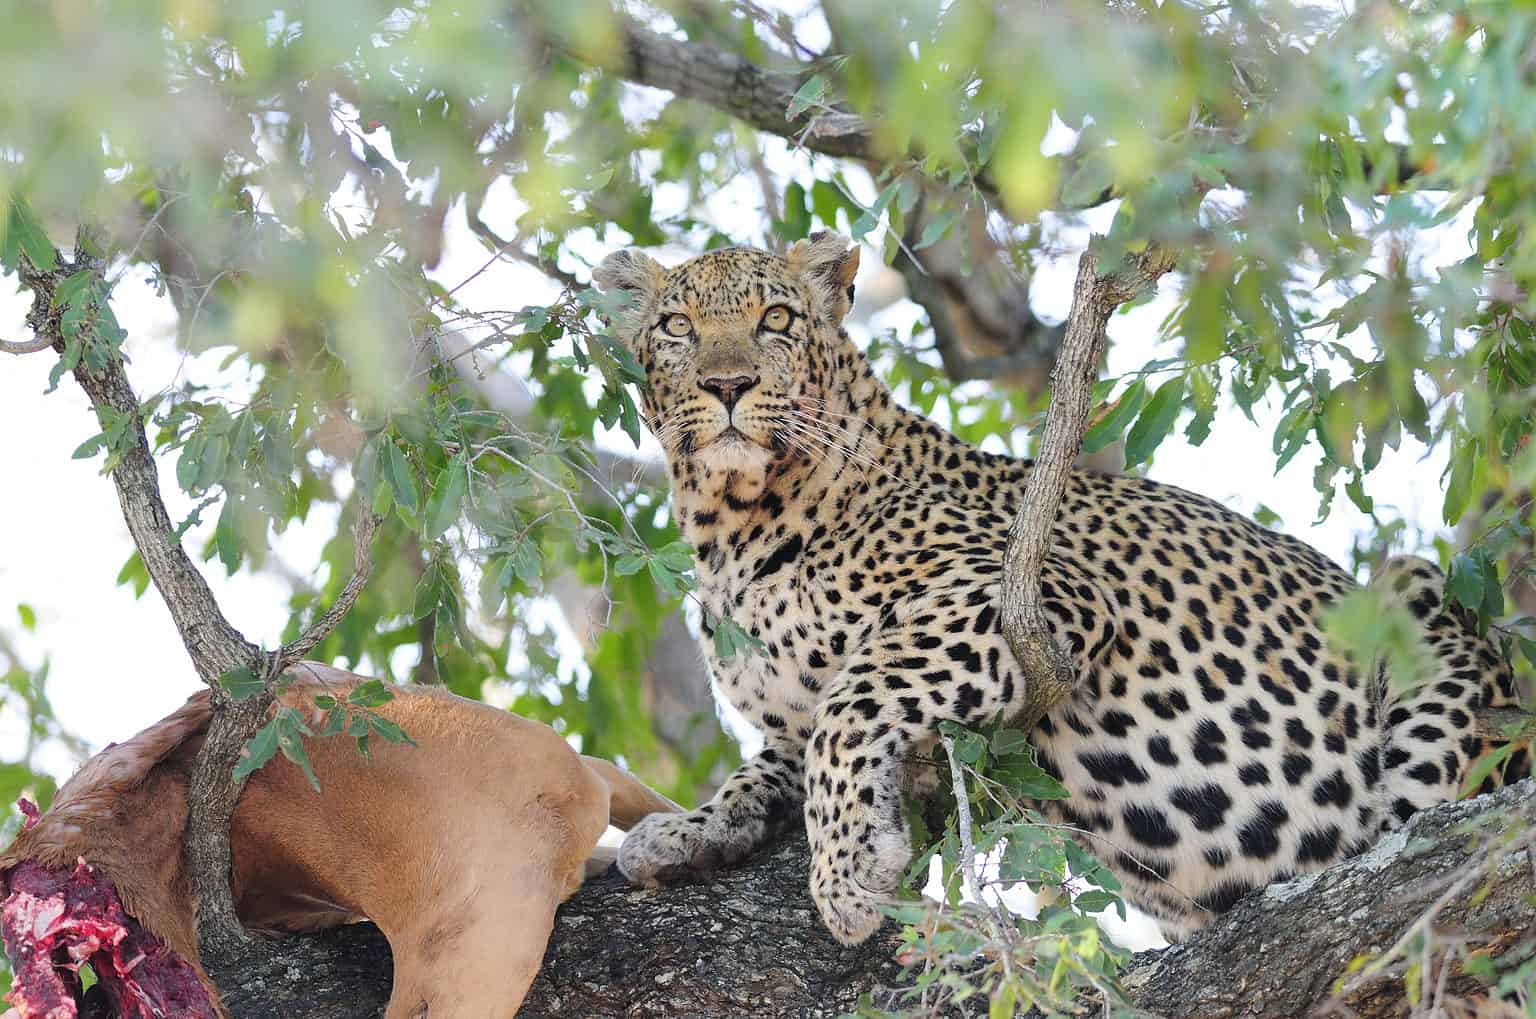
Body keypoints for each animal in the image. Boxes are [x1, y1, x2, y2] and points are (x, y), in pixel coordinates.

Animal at [594, 231, 1522, 946]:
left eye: (776, 320)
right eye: (678, 327)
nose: (727, 386)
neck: (732, 529)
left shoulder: (1029, 598)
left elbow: (854, 700)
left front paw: (850, 876)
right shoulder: (786, 706)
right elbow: (771, 763)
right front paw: (688, 830)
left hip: (1416, 600)